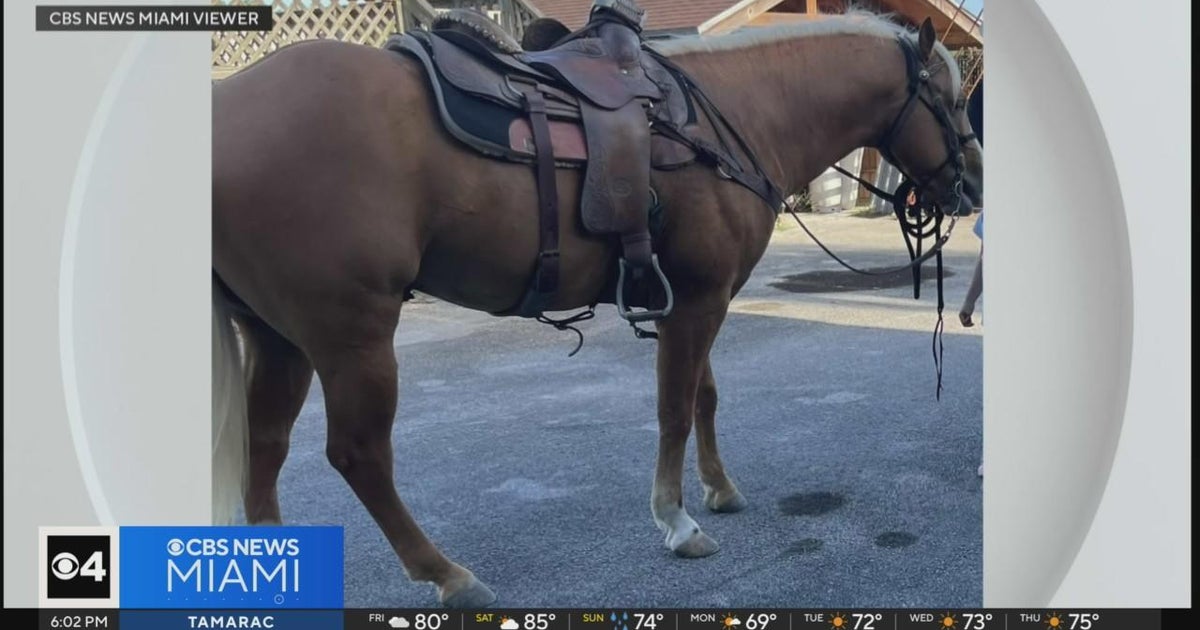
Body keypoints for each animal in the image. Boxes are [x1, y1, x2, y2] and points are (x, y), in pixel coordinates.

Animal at [211, 12, 983, 608]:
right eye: (948, 100)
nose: (973, 183)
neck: (736, 114)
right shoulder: (696, 300)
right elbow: (675, 409)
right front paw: (676, 521)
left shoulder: (694, 300)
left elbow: (703, 396)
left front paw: (719, 489)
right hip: (350, 336)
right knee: (359, 455)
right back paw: (448, 575)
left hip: (278, 337)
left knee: (266, 448)